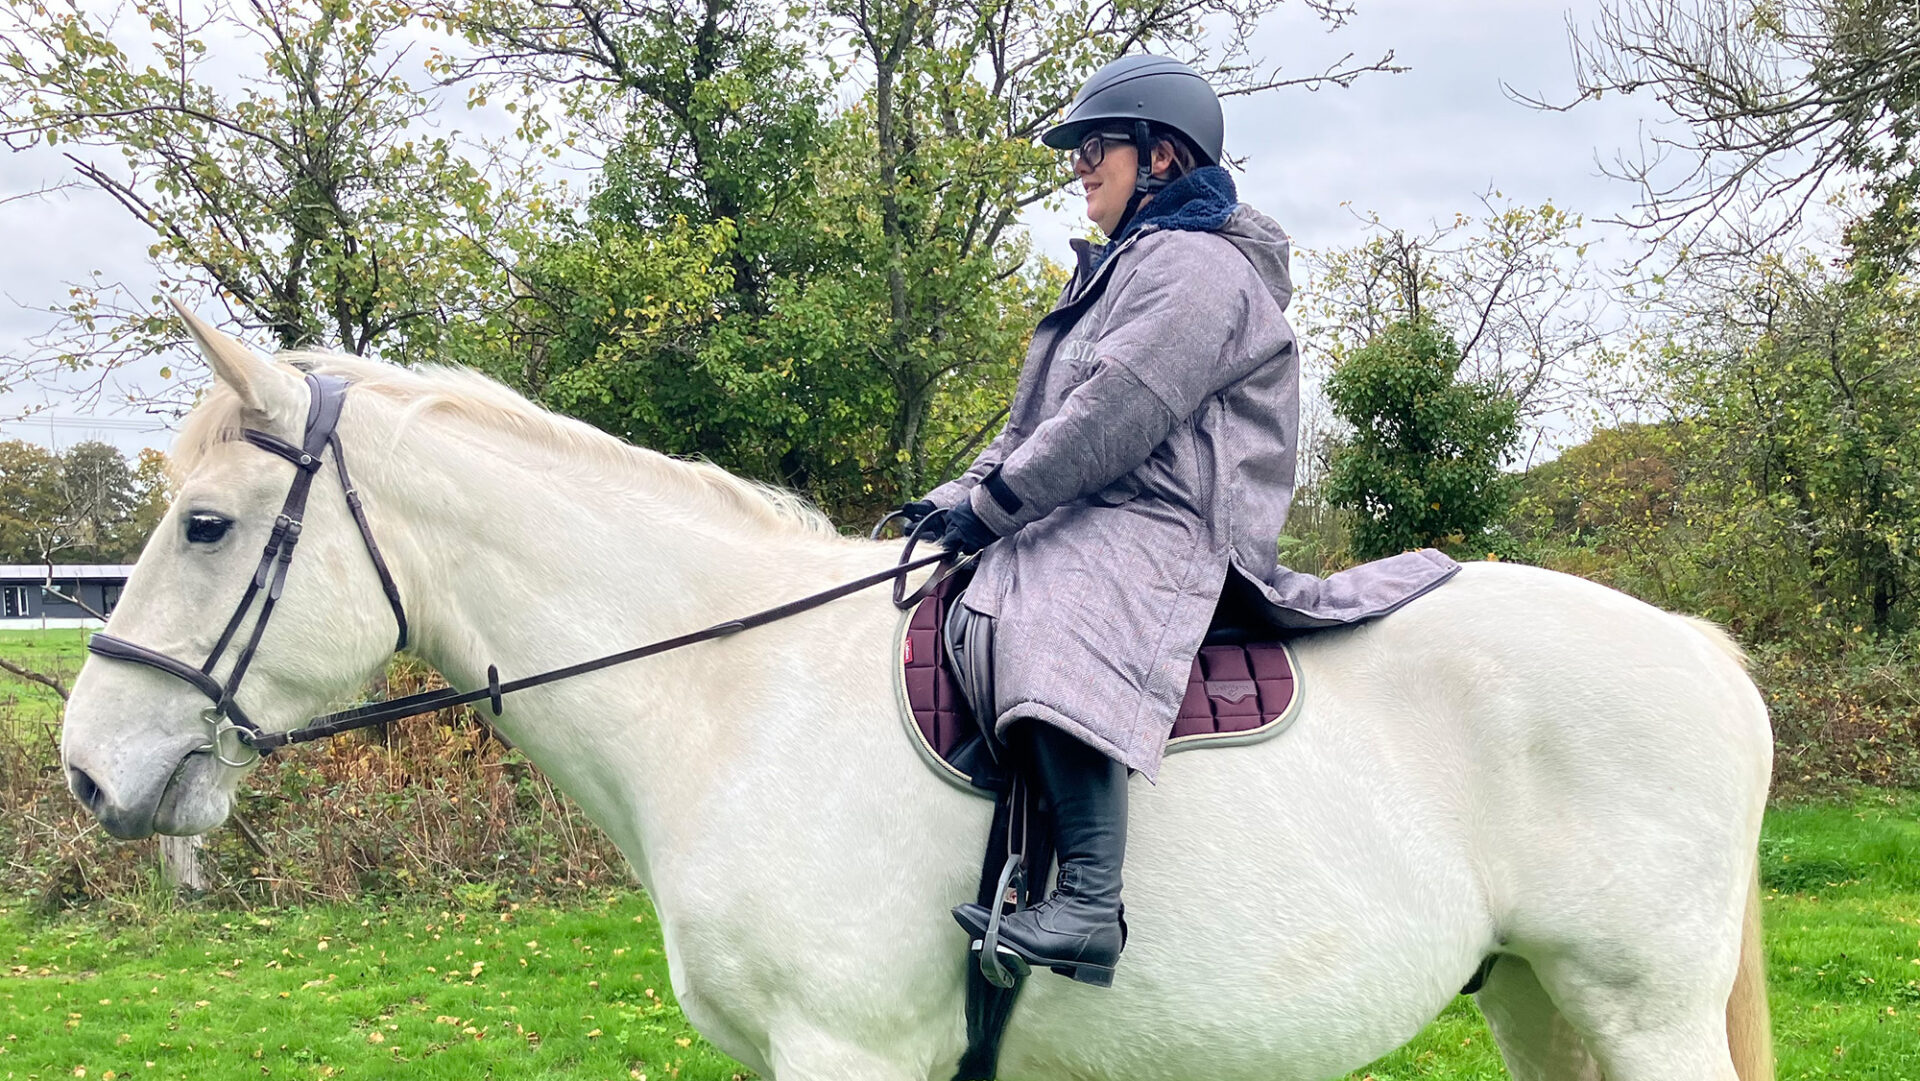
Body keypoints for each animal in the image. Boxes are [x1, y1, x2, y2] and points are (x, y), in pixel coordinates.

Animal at [59, 310, 1774, 1081]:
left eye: (204, 526)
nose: (83, 765)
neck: (726, 697)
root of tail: (1699, 649)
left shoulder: (851, 1052)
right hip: (1543, 1005)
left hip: (1644, 1012)